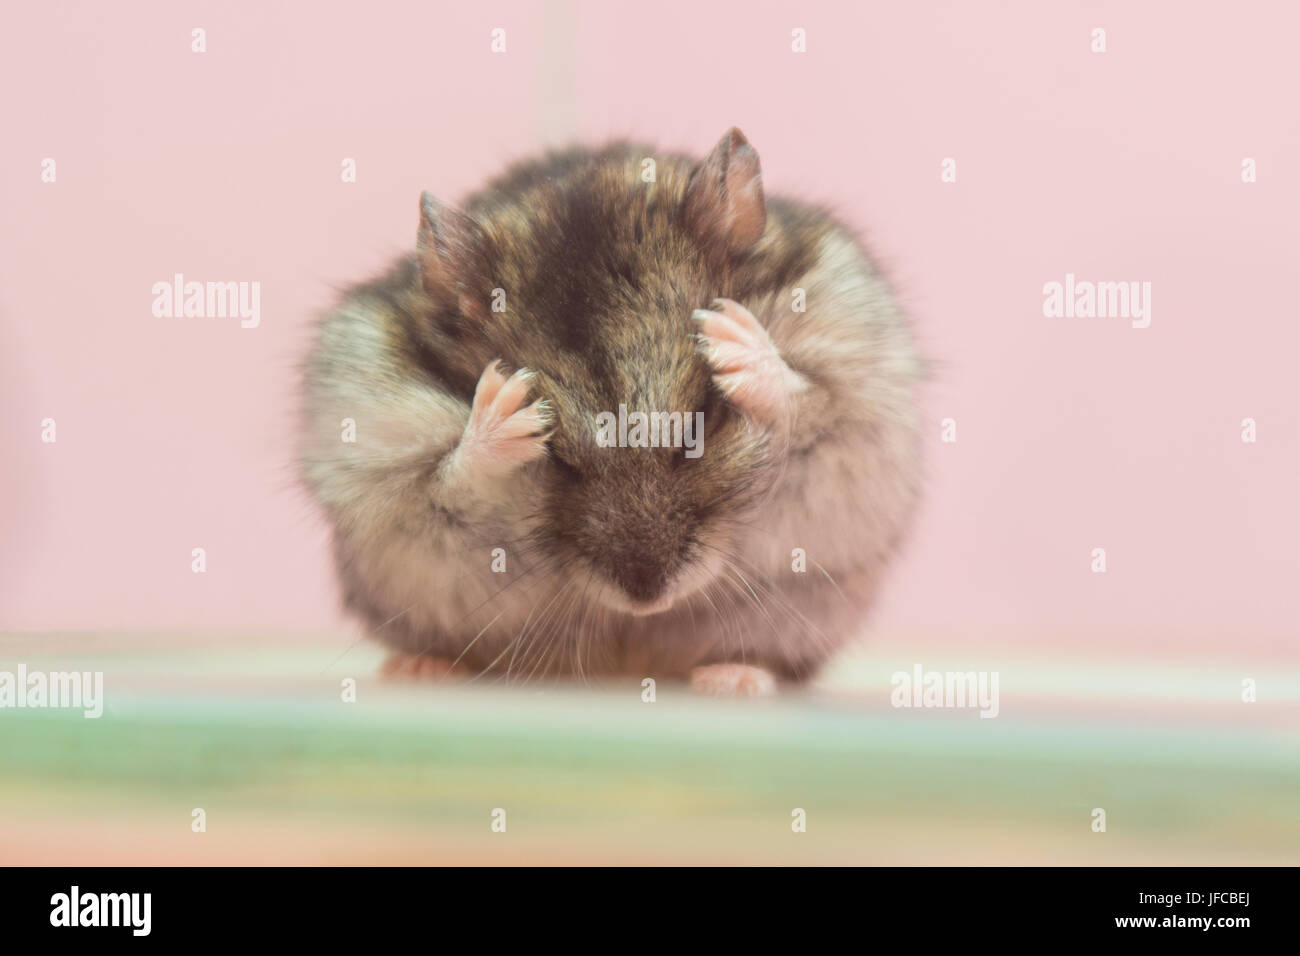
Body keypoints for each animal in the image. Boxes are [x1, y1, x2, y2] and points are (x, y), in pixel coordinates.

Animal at [300, 128, 922, 695]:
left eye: (701, 423)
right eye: (556, 458)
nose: (646, 599)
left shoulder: (854, 405)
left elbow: (810, 399)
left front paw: (732, 338)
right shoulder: (392, 478)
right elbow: (449, 479)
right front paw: (509, 407)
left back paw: (734, 677)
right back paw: (420, 669)